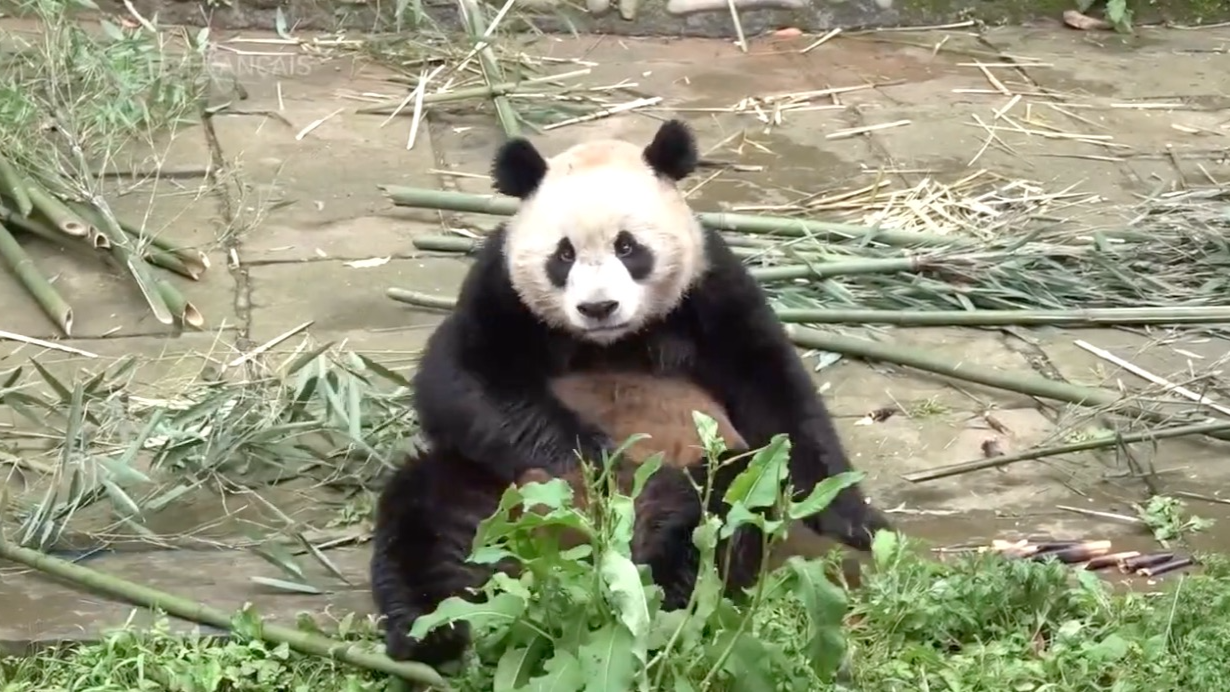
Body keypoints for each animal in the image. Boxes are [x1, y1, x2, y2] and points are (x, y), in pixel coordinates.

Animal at [410, 118, 890, 552]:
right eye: (564, 254)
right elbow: (465, 379)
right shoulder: (502, 293)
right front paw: (597, 460)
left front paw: (852, 517)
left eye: (627, 247)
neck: (612, 342)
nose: (598, 308)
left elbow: (775, 393)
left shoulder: (710, 291)